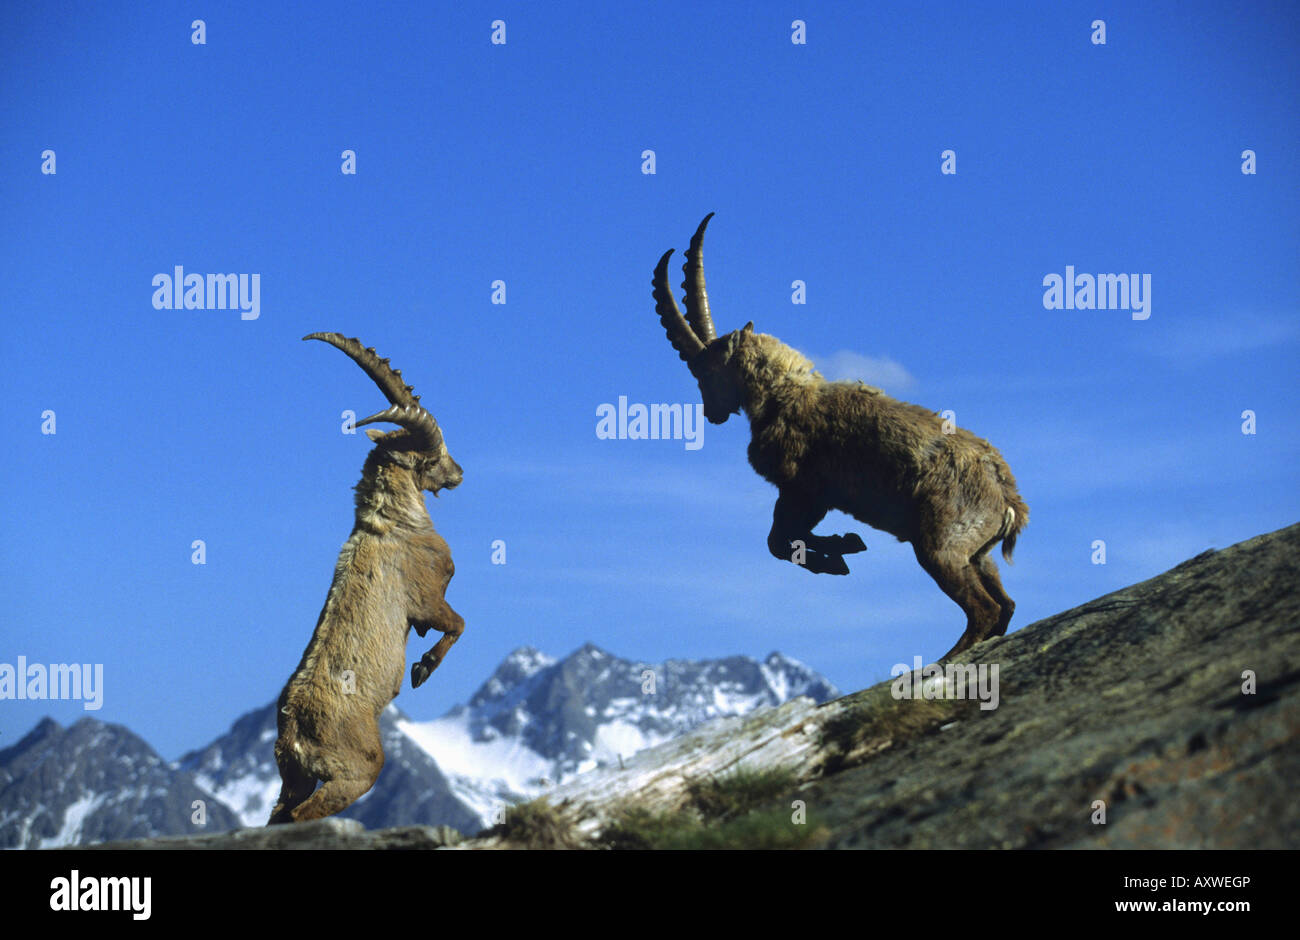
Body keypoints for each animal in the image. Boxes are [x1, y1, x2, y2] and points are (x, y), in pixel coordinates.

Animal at [268, 333, 465, 824]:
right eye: (433, 455)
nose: (458, 472)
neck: (392, 523)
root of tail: (294, 735)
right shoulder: (427, 599)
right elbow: (456, 623)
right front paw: (421, 669)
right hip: (357, 771)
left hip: (294, 780)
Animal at [652, 215, 1028, 660]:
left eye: (706, 371)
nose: (712, 414)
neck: (785, 394)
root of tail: (1007, 496)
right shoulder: (812, 497)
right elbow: (786, 539)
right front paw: (847, 544)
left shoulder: (804, 490)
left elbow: (779, 541)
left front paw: (838, 555)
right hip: (978, 554)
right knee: (1006, 605)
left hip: (941, 545)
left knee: (985, 609)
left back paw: (943, 660)